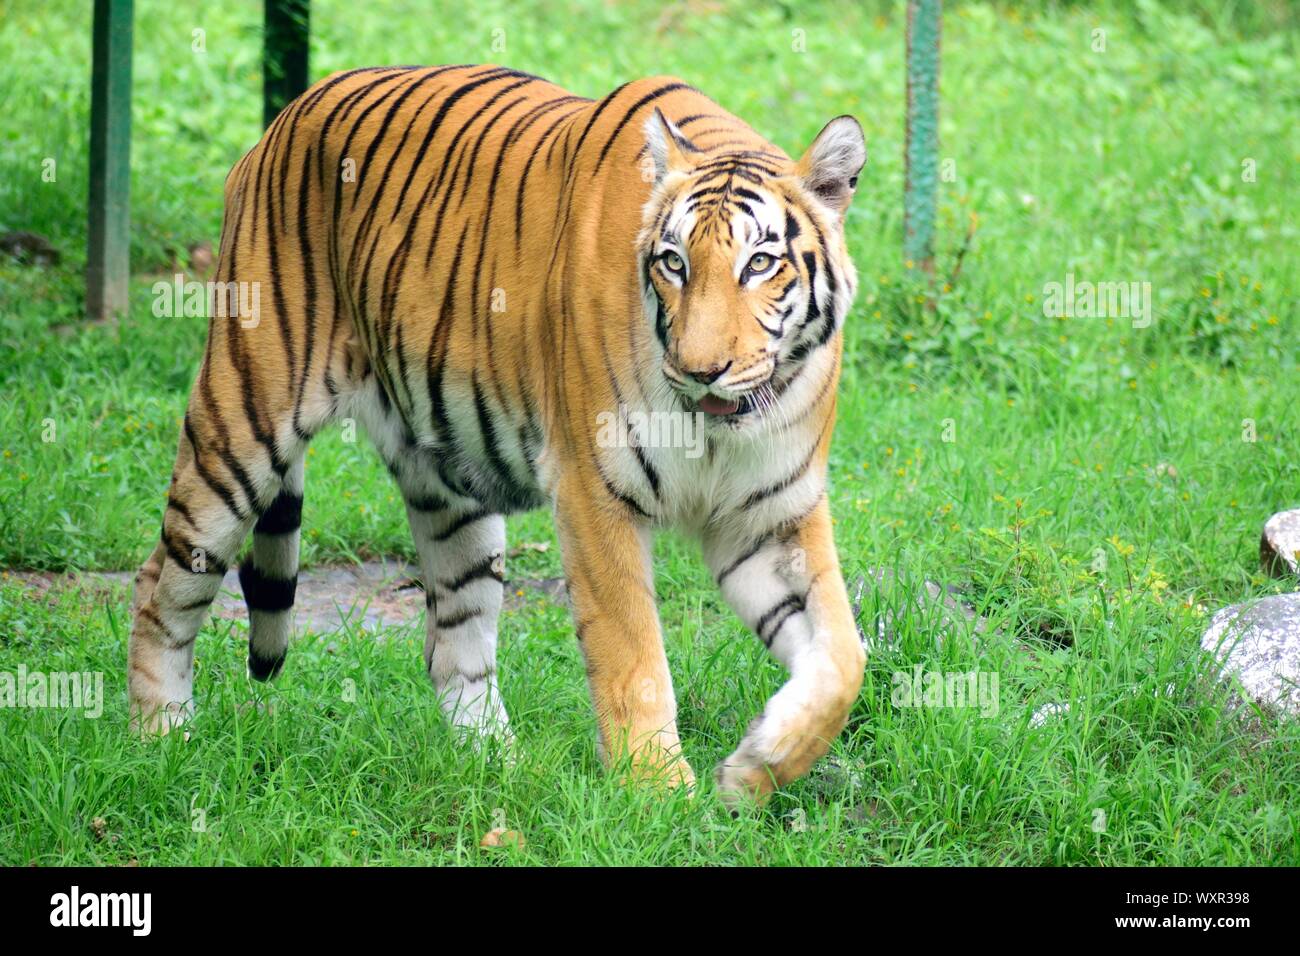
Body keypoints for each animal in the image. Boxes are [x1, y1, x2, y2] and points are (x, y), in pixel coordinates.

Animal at [127, 64, 868, 805]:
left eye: (759, 264)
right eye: (674, 264)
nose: (699, 370)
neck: (721, 429)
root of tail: (283, 119)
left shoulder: (772, 513)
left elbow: (842, 658)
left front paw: (757, 764)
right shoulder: (595, 493)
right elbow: (632, 651)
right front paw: (657, 791)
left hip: (451, 491)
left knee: (450, 641)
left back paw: (496, 768)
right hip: (242, 421)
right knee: (160, 580)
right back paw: (161, 739)